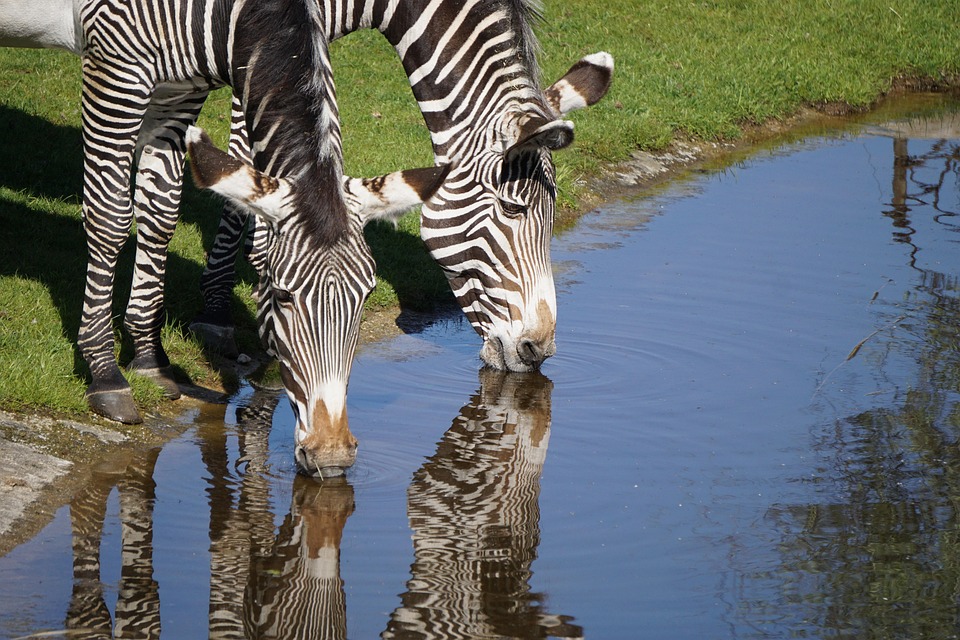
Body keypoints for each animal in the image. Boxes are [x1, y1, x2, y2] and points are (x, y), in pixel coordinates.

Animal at [1, 0, 446, 476]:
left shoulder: (179, 86)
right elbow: (110, 217)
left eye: (367, 296)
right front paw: (106, 373)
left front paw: (148, 358)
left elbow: (161, 211)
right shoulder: (115, 59)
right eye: (282, 296)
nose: (332, 456)